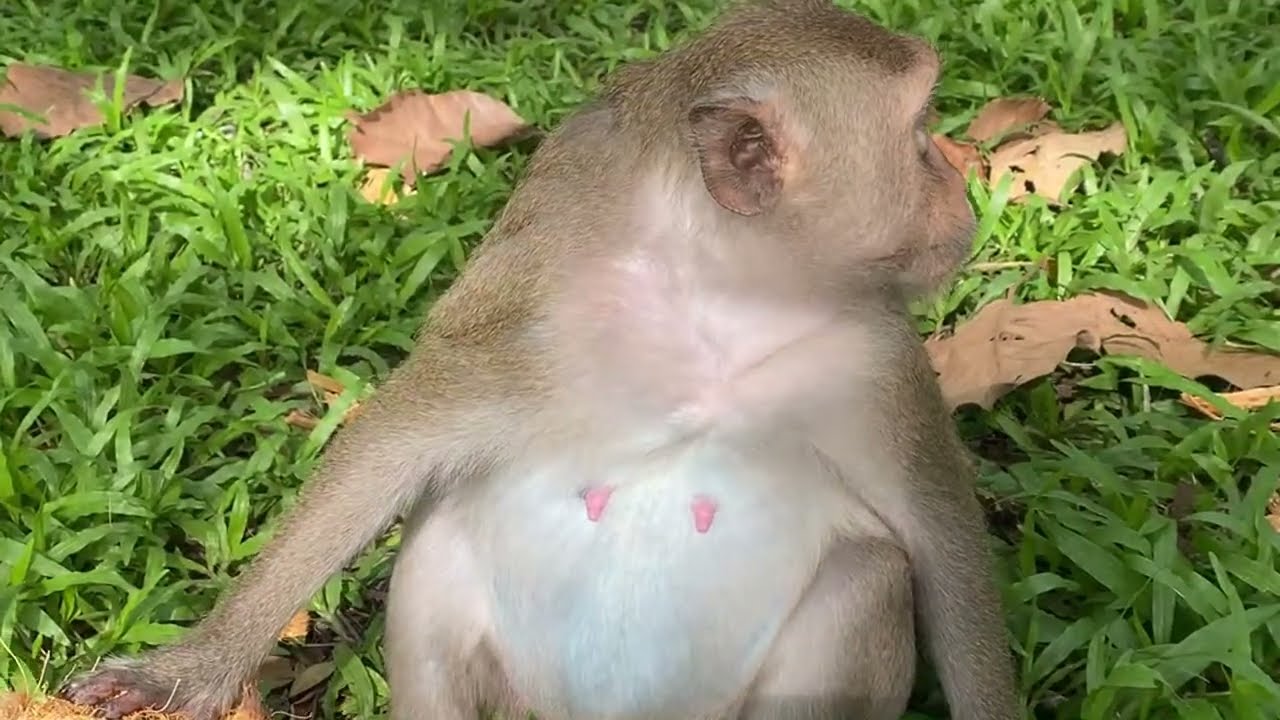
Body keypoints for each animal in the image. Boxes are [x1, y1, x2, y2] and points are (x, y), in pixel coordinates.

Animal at [61, 1, 1021, 719]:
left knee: (868, 576)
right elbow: (383, 458)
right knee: (438, 540)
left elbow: (942, 546)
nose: (958, 184)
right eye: (922, 131)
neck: (719, 303)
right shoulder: (536, 321)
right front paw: (191, 668)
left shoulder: (872, 366)